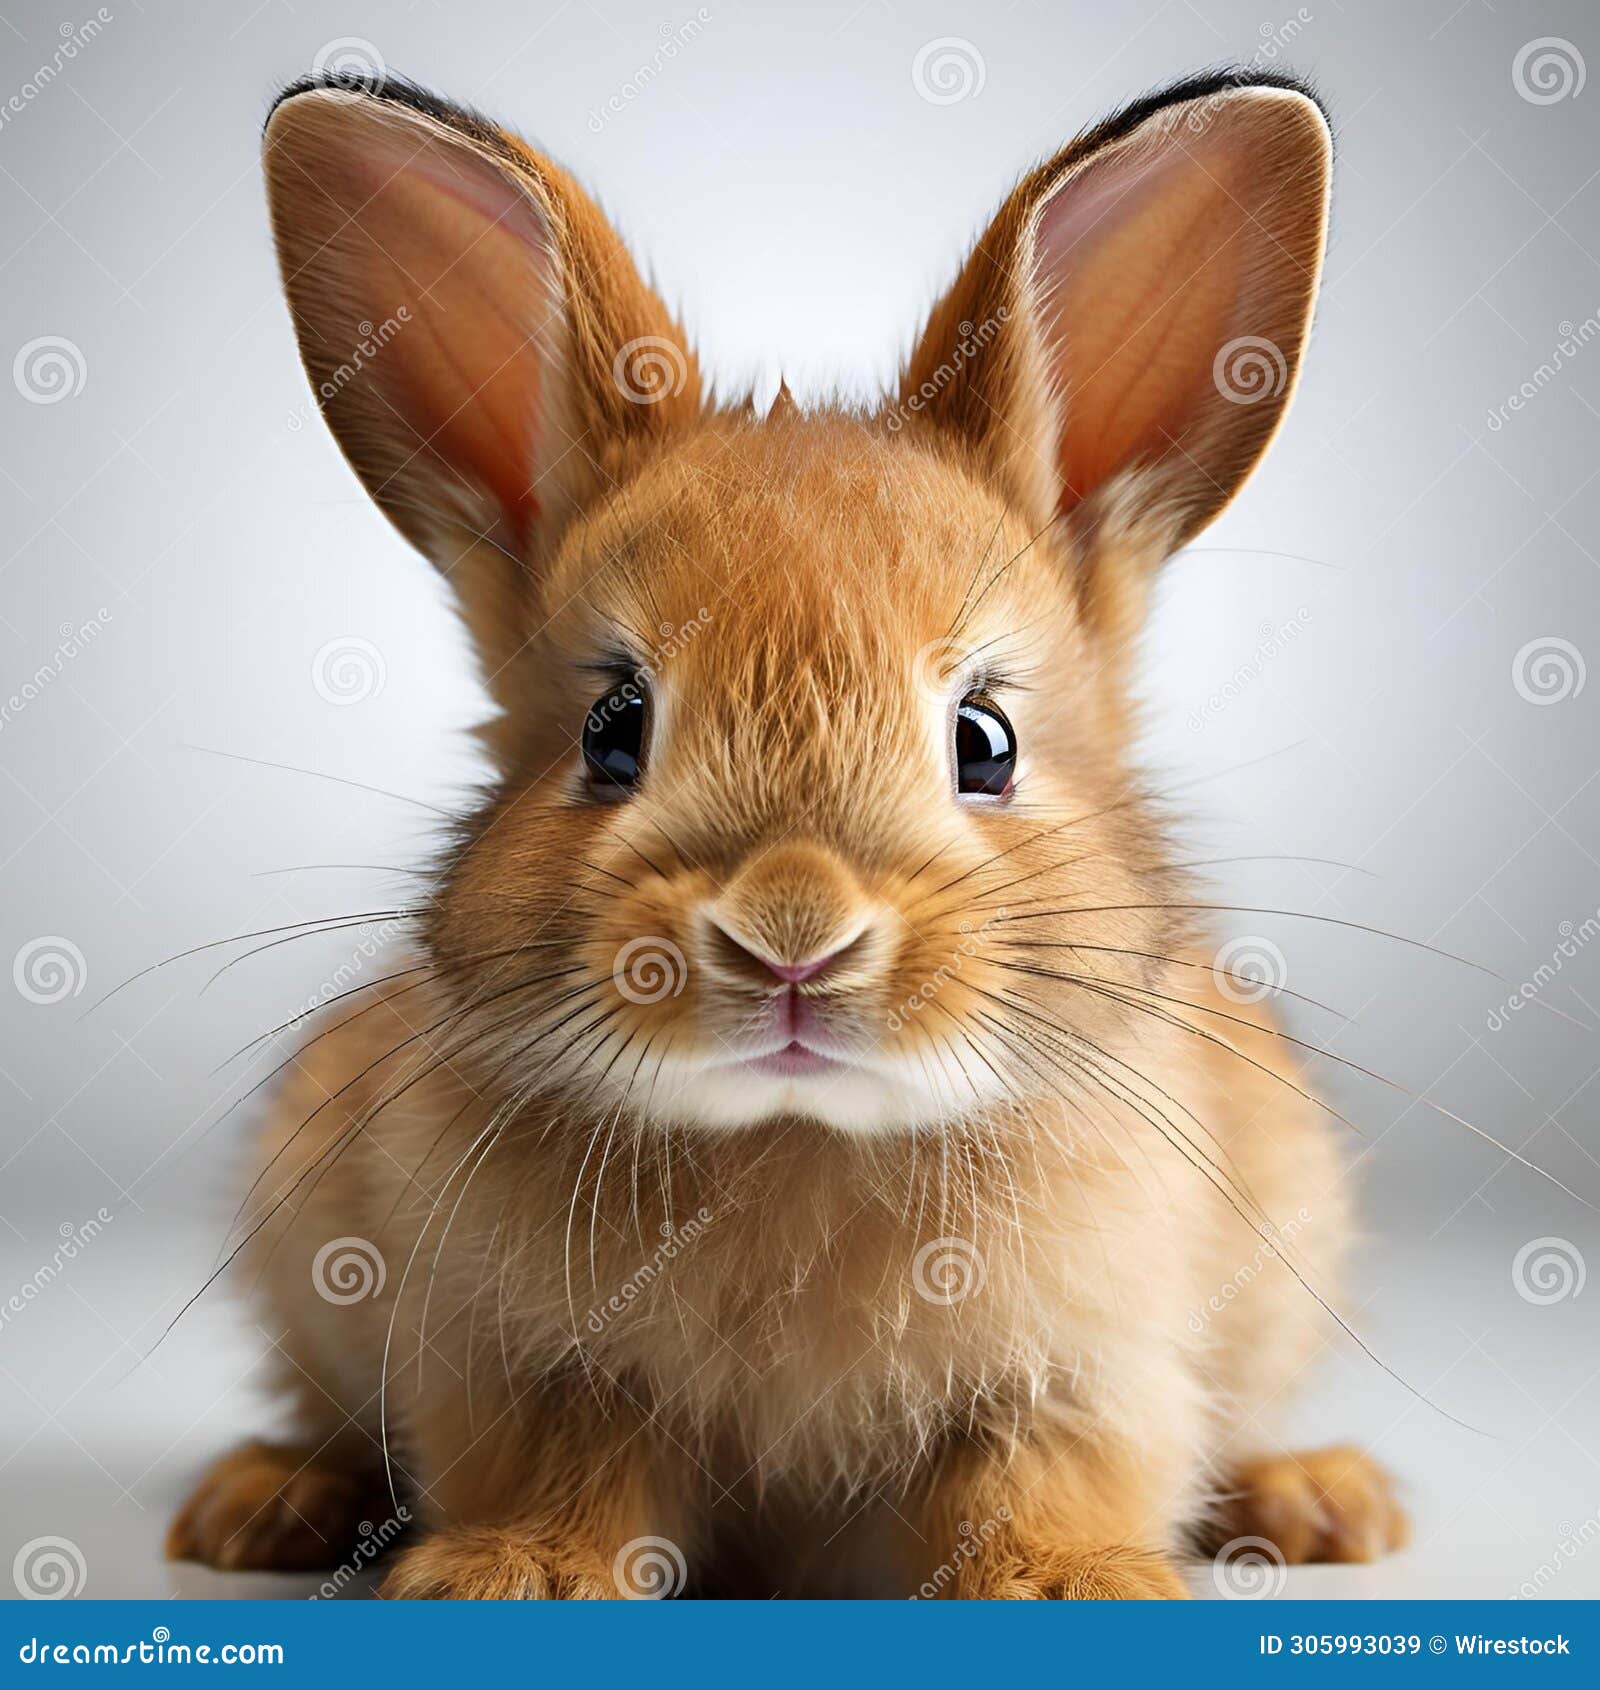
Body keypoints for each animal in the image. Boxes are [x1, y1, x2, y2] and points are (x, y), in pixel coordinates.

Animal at [166, 67, 1408, 1599]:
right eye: (614, 728)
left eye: (984, 741)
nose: (792, 934)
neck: (798, 1133)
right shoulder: (518, 1364)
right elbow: (561, 1474)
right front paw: (510, 1572)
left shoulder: (1091, 1369)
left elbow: (1046, 1477)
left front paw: (1076, 1583)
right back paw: (262, 1504)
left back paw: (1316, 1501)